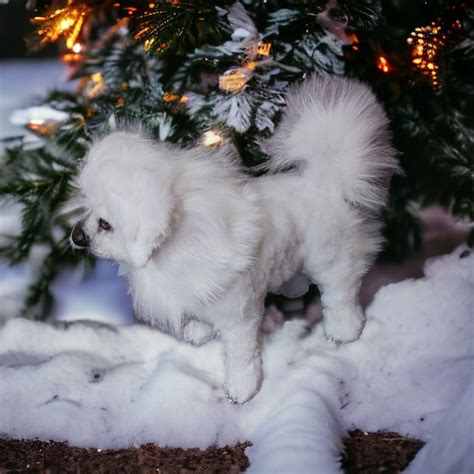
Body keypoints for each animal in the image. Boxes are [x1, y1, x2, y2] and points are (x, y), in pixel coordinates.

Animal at [69, 75, 396, 404]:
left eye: (106, 224)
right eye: (87, 206)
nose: (76, 236)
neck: (176, 247)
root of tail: (325, 182)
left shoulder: (239, 315)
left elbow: (241, 356)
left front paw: (242, 389)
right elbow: (198, 316)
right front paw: (198, 333)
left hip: (333, 261)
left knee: (340, 295)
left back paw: (344, 331)